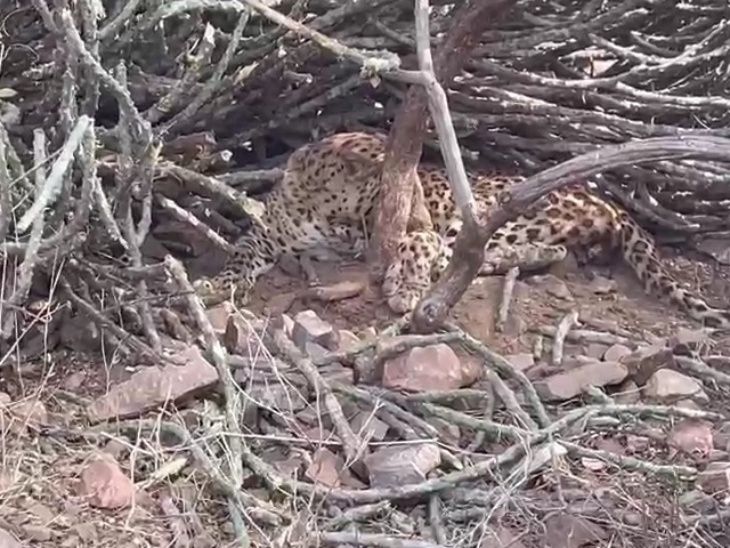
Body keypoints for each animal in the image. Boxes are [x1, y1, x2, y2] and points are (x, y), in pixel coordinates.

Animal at [193, 131, 730, 329]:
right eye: (394, 192)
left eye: (415, 189)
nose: (418, 215)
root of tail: (605, 200)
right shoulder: (268, 230)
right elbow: (241, 252)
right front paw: (216, 283)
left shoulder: (424, 232)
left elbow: (417, 244)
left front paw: (405, 288)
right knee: (547, 255)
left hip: (490, 212)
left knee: (475, 253)